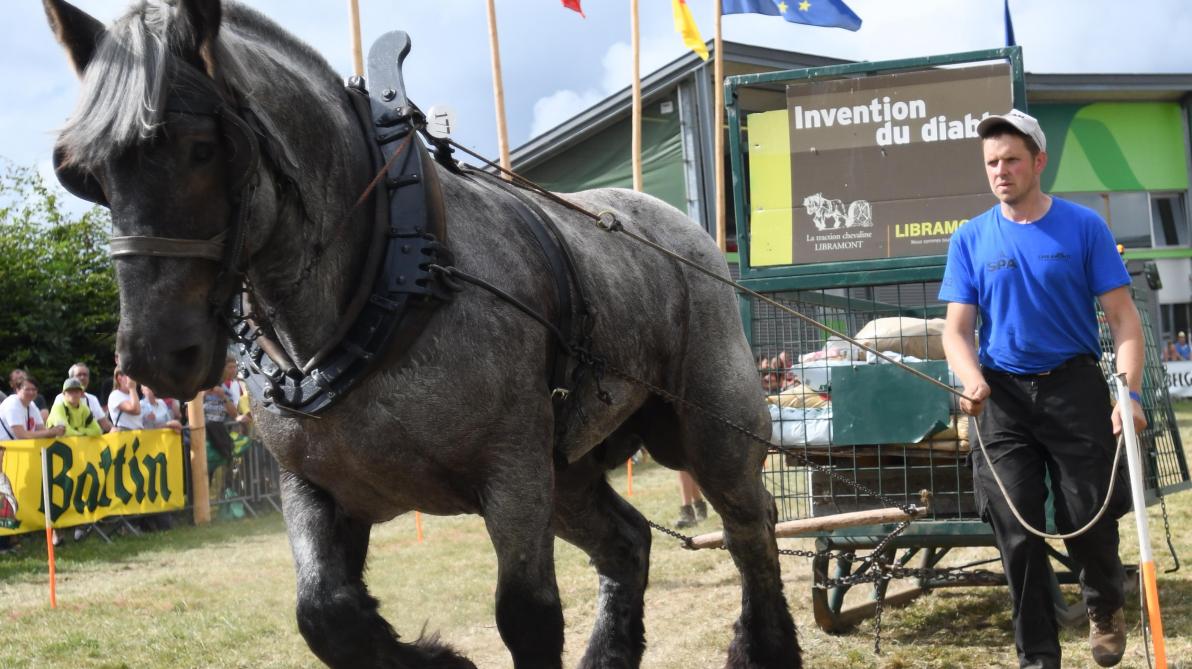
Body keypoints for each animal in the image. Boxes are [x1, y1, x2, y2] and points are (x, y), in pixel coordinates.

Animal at [43, 1, 800, 666]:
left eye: (202, 148)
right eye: (88, 174)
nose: (153, 353)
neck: (384, 282)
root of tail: (682, 229)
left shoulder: (512, 473)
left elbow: (527, 618)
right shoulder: (311, 486)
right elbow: (326, 613)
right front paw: (436, 657)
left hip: (708, 432)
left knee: (750, 526)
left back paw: (766, 646)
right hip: (570, 472)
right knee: (629, 543)